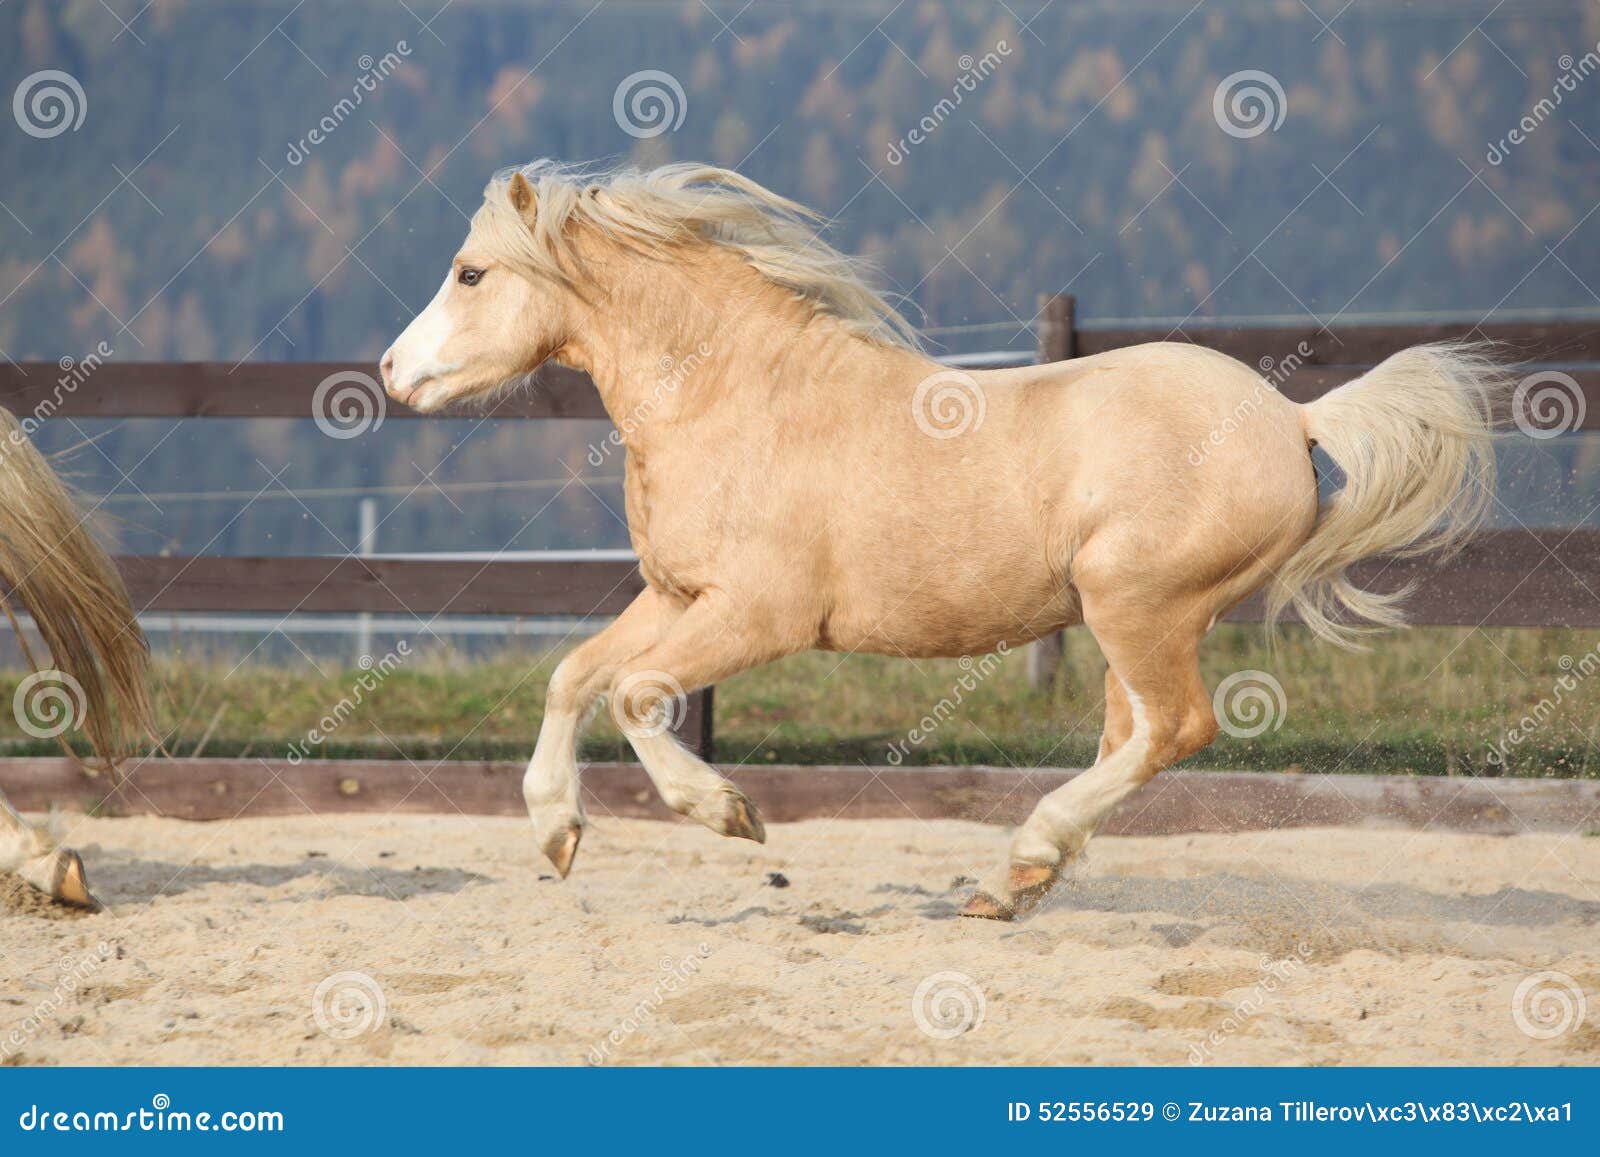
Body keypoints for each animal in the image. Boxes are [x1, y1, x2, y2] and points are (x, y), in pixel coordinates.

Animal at [380, 160, 1502, 920]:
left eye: (470, 273)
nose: (392, 372)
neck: (734, 396)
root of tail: (1296, 420)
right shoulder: (677, 594)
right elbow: (573, 676)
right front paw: (556, 832)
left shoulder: (760, 615)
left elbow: (635, 694)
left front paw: (730, 813)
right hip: (1131, 620)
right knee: (1133, 735)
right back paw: (1014, 882)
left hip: (1139, 605)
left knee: (1173, 730)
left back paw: (1025, 855)